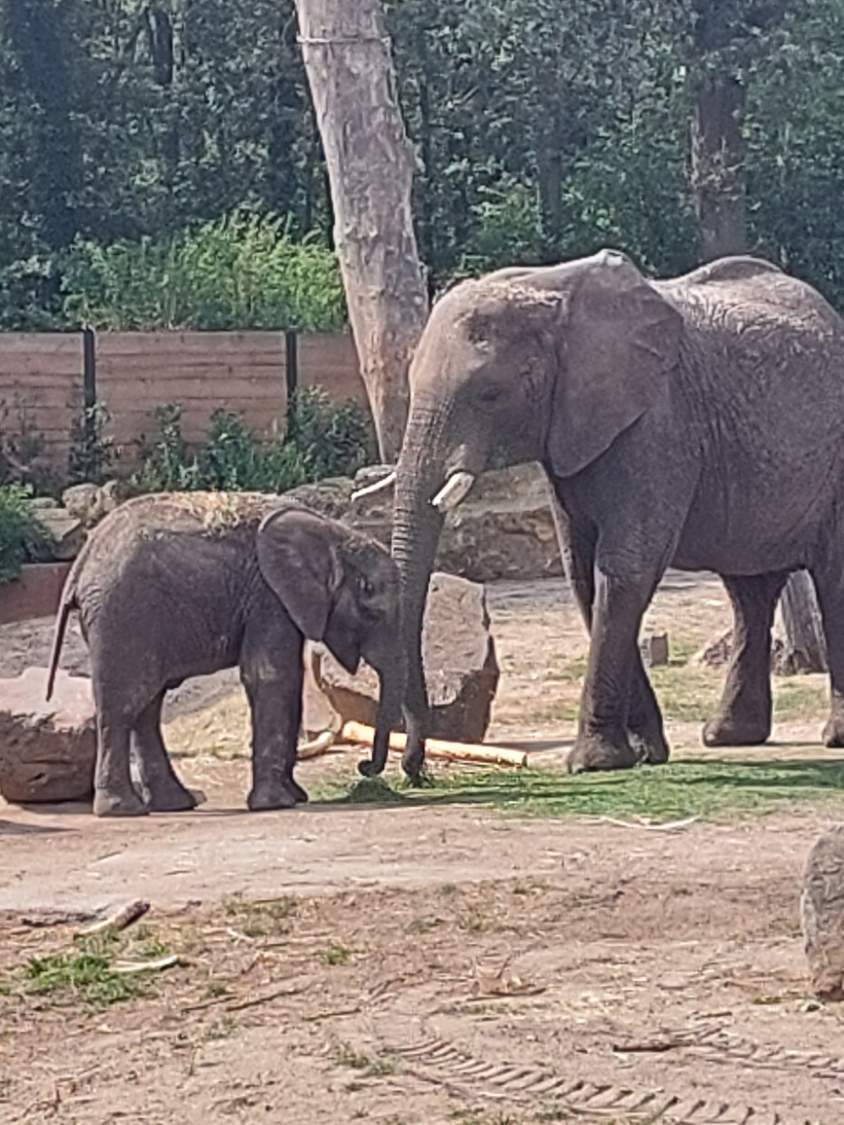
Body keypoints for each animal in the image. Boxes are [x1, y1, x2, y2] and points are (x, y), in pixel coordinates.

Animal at [46, 492, 402, 816]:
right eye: (373, 611)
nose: (365, 767)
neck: (332, 531)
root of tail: (80, 563)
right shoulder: (268, 597)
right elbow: (271, 676)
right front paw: (277, 804)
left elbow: (289, 680)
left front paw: (295, 796)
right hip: (122, 616)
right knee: (124, 704)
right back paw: (123, 810)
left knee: (147, 704)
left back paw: (173, 805)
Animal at [362, 249, 844, 779]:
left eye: (489, 393)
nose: (412, 770)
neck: (547, 289)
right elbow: (584, 575)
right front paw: (644, 752)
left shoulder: (659, 422)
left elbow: (625, 568)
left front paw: (592, 762)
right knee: (749, 592)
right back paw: (728, 737)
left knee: (829, 580)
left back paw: (833, 737)